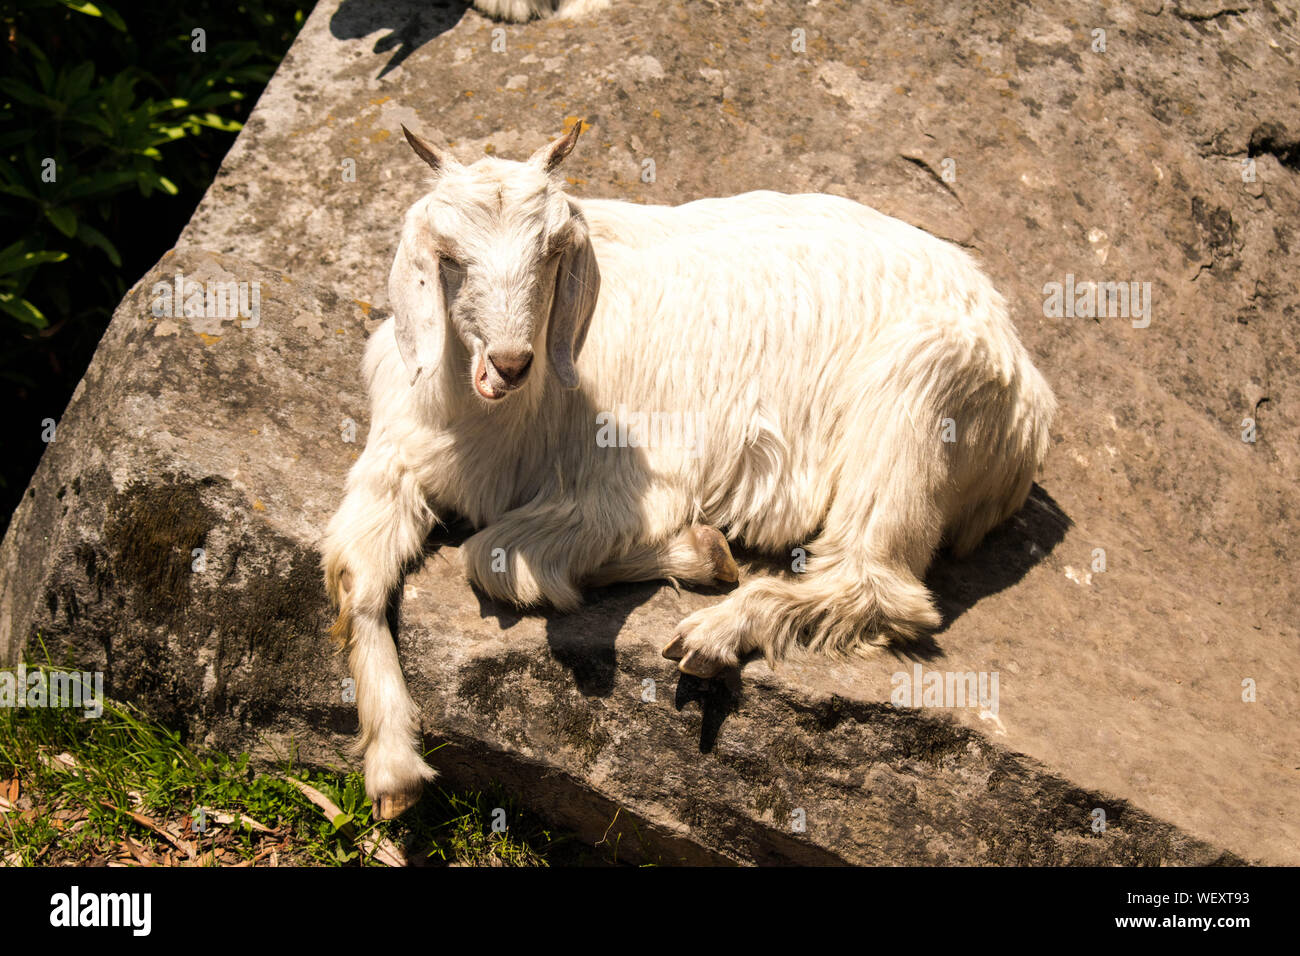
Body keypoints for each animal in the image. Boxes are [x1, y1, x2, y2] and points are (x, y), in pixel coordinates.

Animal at [321, 120, 1056, 817]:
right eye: (448, 258)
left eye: (552, 254)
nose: (510, 363)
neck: (483, 418)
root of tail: (1029, 394)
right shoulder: (397, 455)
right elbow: (356, 573)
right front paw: (392, 770)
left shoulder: (622, 488)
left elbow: (493, 559)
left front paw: (699, 552)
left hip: (917, 402)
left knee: (880, 583)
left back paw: (718, 629)